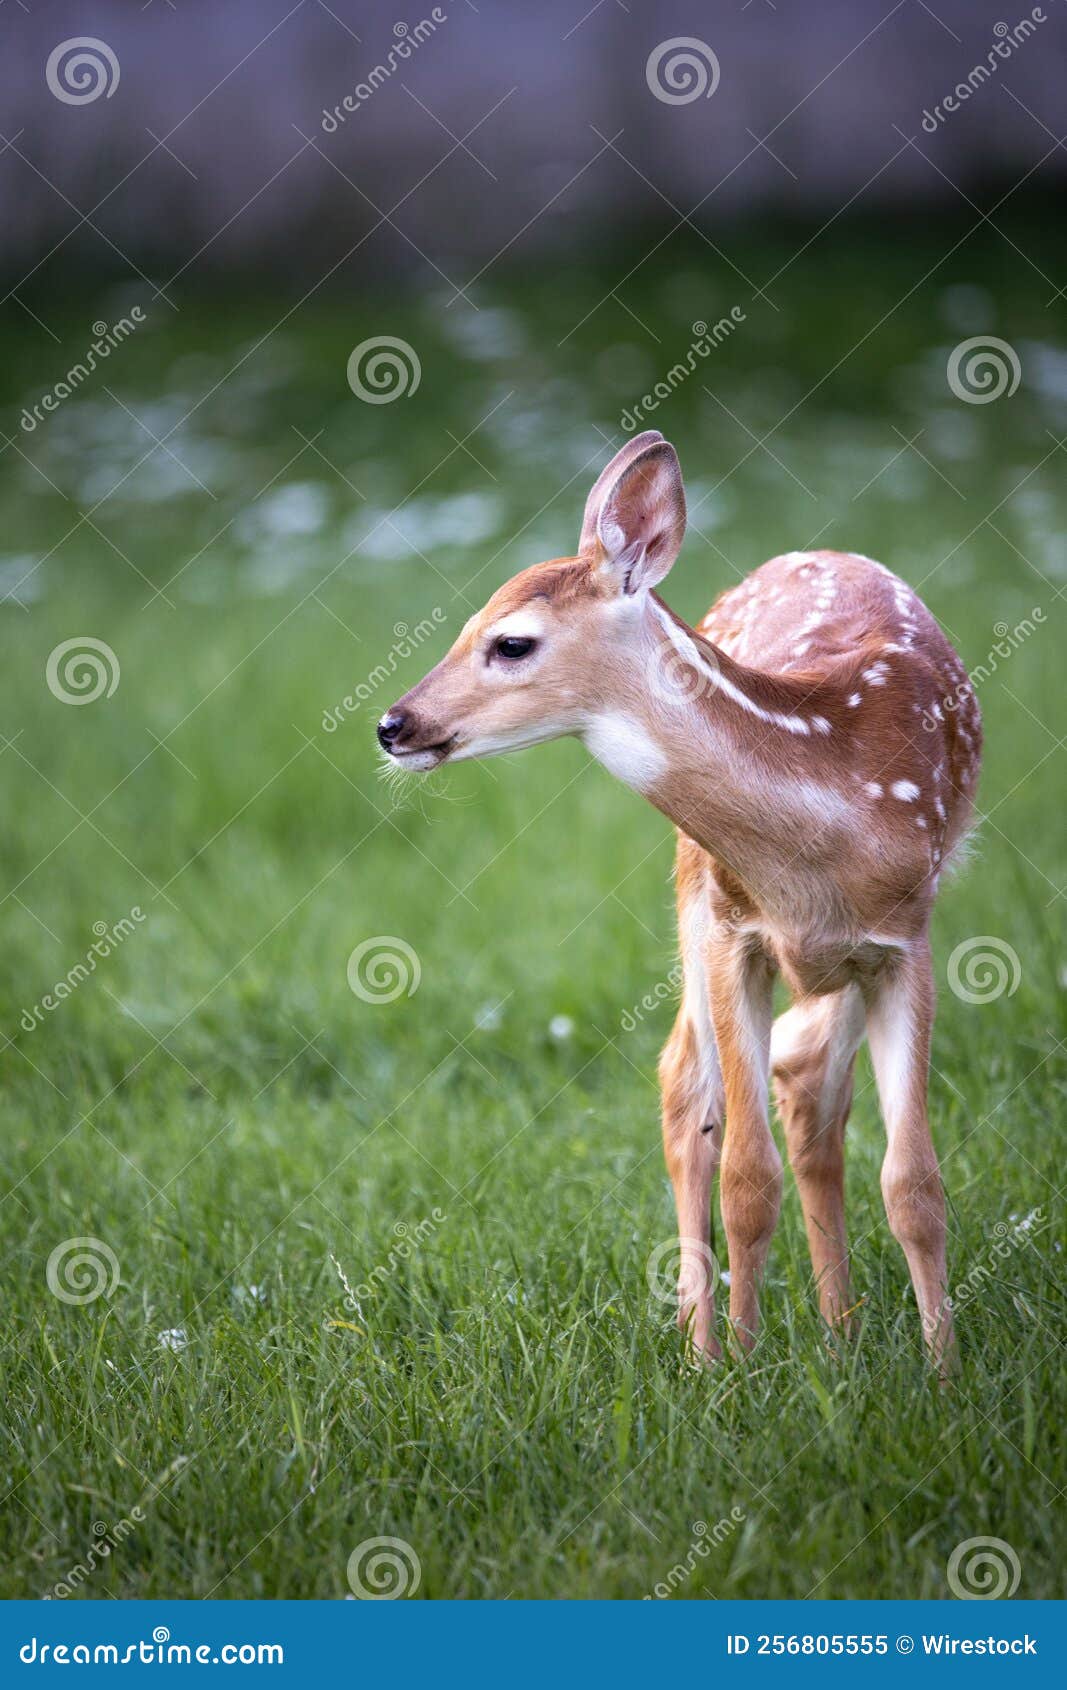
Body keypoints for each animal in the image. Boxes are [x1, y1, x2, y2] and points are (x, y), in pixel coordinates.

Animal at [377, 432, 981, 1372]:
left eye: (509, 642)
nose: (394, 725)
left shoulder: (904, 941)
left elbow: (913, 1182)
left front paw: (943, 1374)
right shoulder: (735, 931)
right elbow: (743, 1173)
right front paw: (740, 1365)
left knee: (808, 1088)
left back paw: (838, 1332)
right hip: (692, 890)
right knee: (688, 1087)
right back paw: (705, 1343)